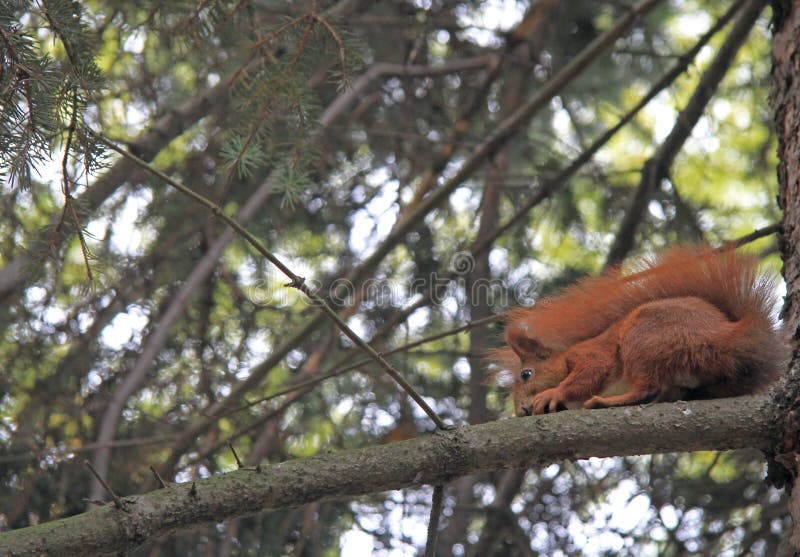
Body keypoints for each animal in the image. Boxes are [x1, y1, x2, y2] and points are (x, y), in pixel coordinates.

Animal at [495, 245, 789, 416]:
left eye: (526, 374)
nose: (521, 410)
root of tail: (725, 335)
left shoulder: (589, 354)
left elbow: (590, 372)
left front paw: (552, 394)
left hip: (644, 339)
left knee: (647, 388)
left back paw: (604, 402)